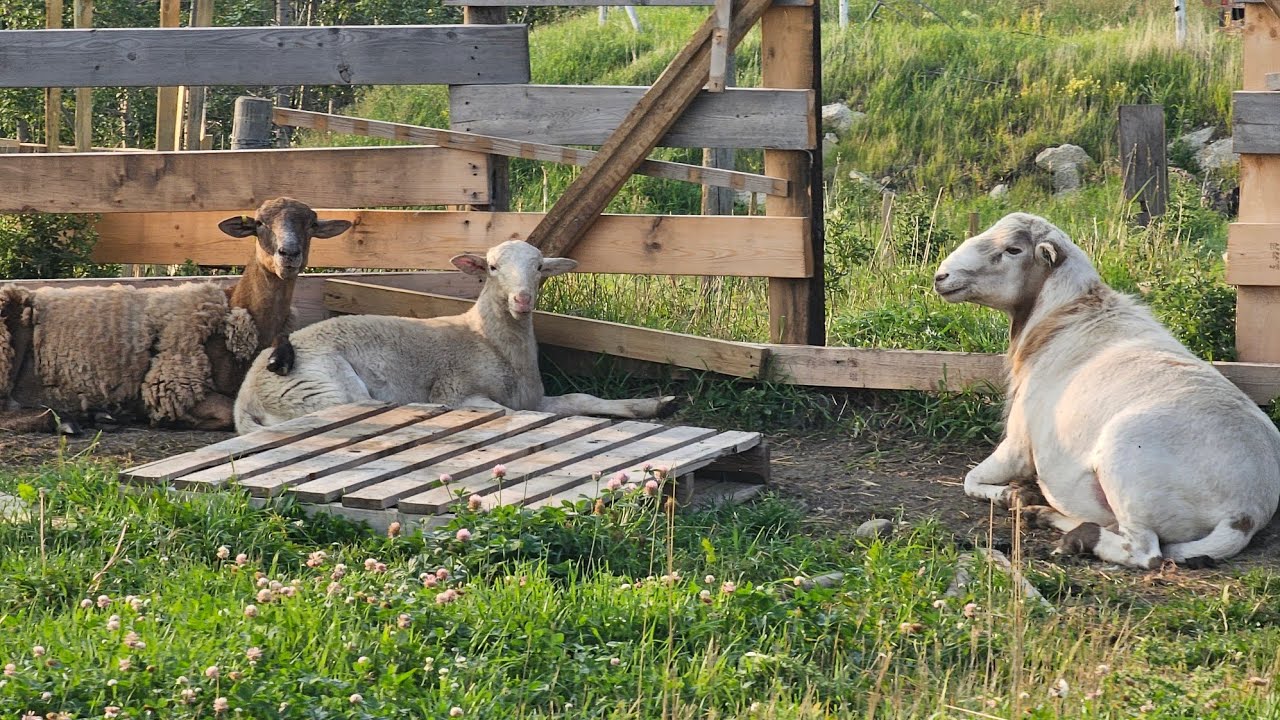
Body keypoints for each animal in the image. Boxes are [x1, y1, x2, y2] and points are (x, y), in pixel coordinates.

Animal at [0, 197, 352, 432]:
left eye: (311, 225)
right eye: (259, 224)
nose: (288, 254)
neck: (235, 312)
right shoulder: (173, 386)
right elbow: (225, 415)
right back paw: (73, 420)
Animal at [234, 239, 677, 433]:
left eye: (538, 268)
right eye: (493, 267)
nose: (522, 299)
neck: (487, 339)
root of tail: (244, 401)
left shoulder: (533, 395)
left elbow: (581, 399)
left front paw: (655, 405)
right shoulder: (458, 394)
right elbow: (514, 413)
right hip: (330, 391)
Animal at [933, 212, 1280, 568]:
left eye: (1013, 249)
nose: (941, 276)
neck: (1064, 317)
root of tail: (1246, 512)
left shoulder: (1018, 446)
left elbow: (971, 480)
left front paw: (1011, 495)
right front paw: (1022, 497)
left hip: (1127, 470)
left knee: (1144, 551)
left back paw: (1074, 538)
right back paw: (1042, 515)